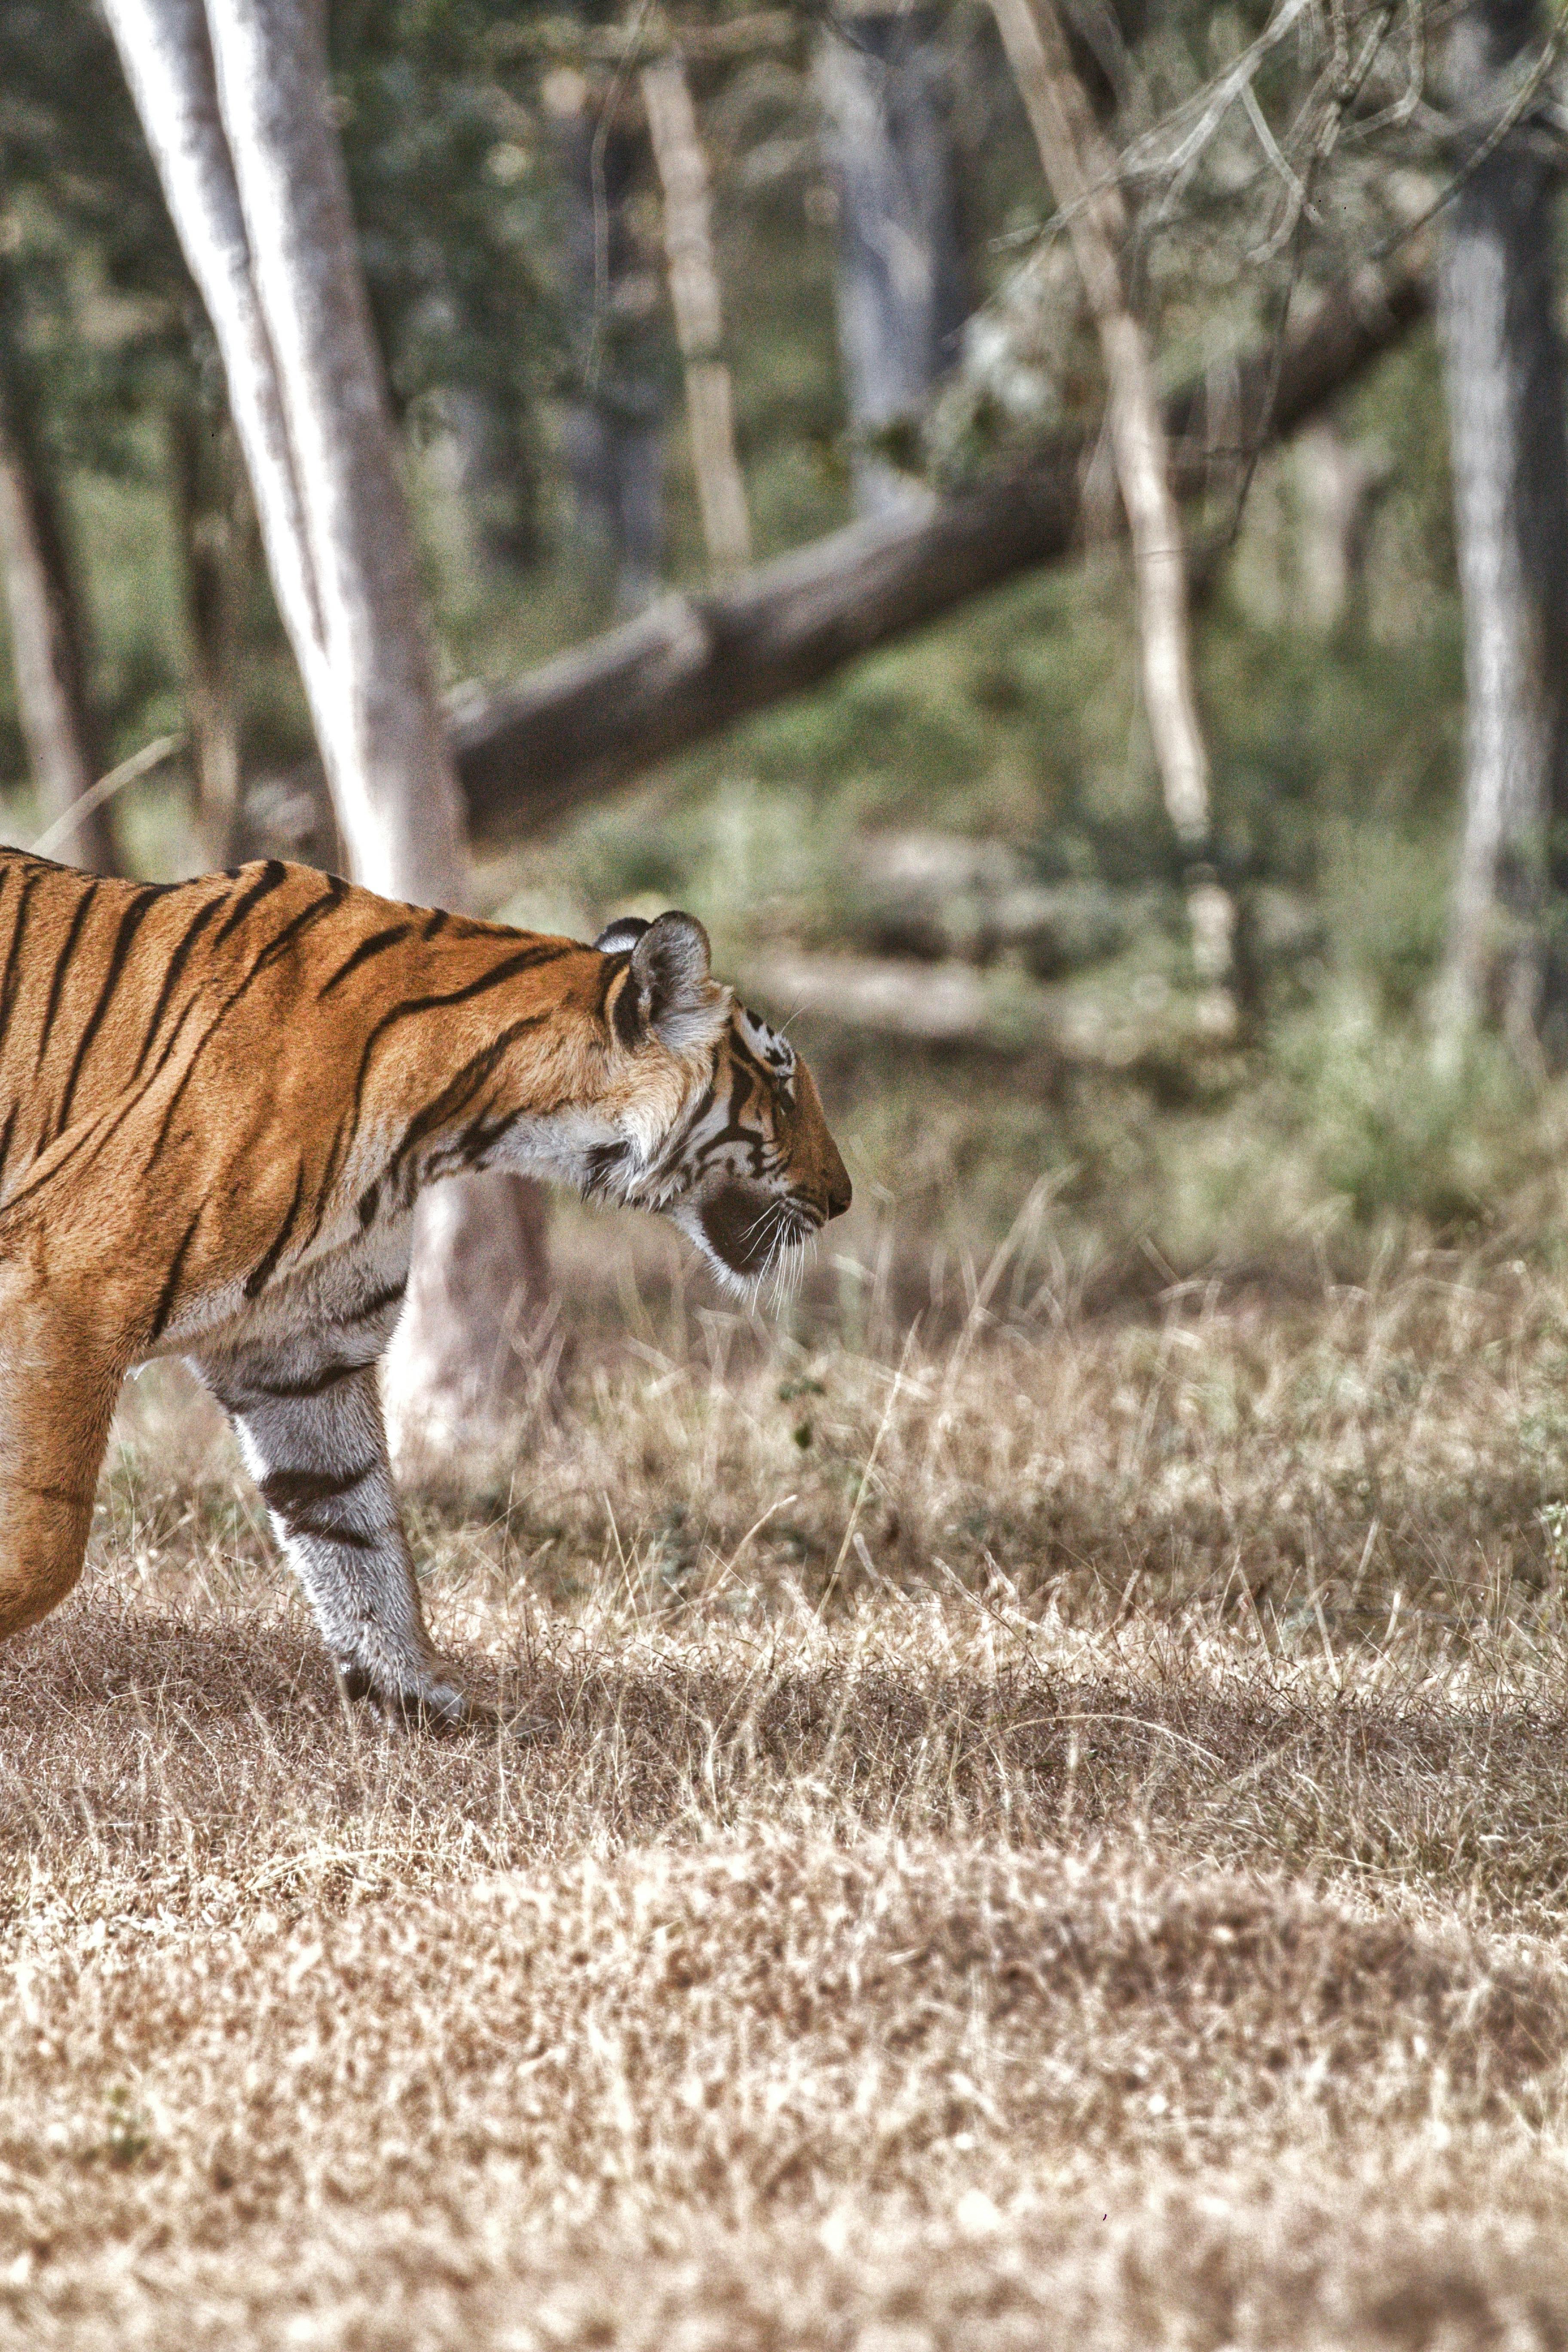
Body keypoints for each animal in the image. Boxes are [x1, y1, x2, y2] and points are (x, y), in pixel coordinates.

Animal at [0, 850, 851, 1726]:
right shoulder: (67, 1284)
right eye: (782, 1088)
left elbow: (355, 1531)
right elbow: (46, 1546)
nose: (844, 1197)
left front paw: (415, 1701)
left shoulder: (298, 1352)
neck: (457, 1124)